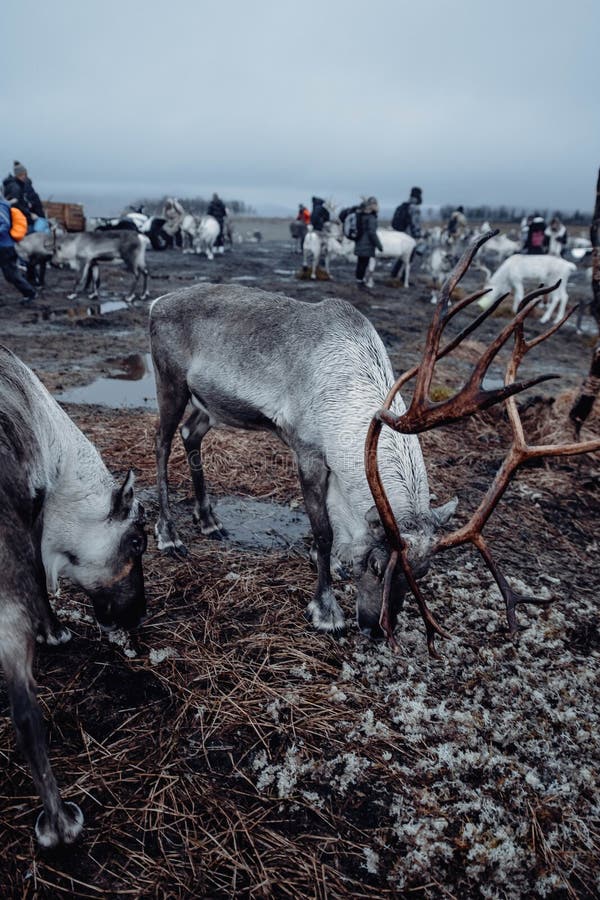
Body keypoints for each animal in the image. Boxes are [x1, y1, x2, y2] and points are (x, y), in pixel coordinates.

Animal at [0, 347, 147, 846]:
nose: (139, 613)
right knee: (27, 715)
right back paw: (62, 825)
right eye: (138, 541)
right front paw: (56, 632)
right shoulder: (32, 532)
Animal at [149, 232, 600, 654]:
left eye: (423, 575)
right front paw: (326, 609)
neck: (348, 384)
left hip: (209, 404)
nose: (377, 629)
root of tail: (157, 302)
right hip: (171, 381)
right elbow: (324, 530)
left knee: (191, 435)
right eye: (377, 564)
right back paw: (169, 535)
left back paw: (209, 519)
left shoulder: (336, 467)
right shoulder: (309, 452)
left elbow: (334, 523)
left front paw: (327, 566)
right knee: (162, 443)